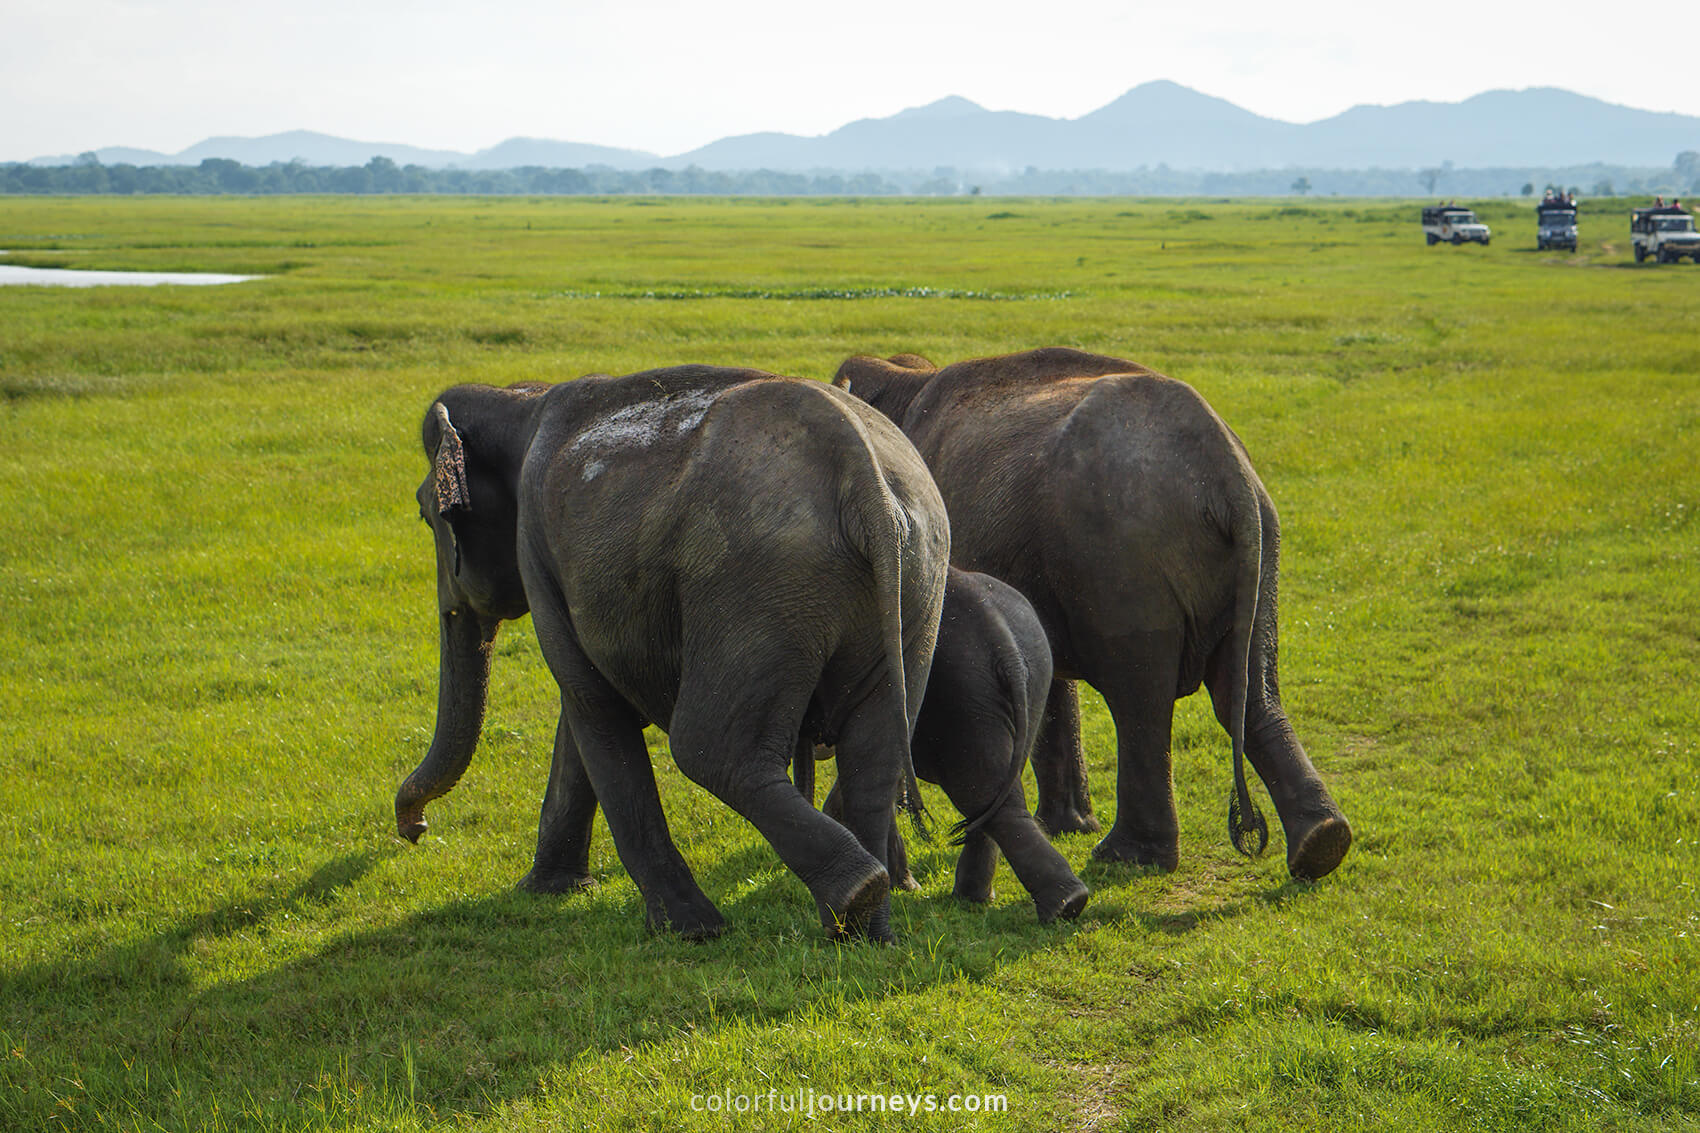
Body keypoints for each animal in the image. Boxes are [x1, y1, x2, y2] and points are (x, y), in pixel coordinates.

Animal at [393, 366, 950, 942]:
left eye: (425, 516)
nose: (413, 829)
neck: (521, 399)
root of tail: (865, 483)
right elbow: (584, 711)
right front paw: (547, 890)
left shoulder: (538, 553)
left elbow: (590, 703)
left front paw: (688, 929)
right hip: (913, 581)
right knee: (876, 749)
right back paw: (865, 930)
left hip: (753, 586)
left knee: (710, 749)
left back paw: (857, 894)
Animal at [832, 347, 1351, 881]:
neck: (907, 378)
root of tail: (1229, 475)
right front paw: (1066, 827)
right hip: (1259, 555)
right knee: (1246, 690)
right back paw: (1321, 844)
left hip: (1121, 558)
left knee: (1140, 700)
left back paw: (1126, 856)